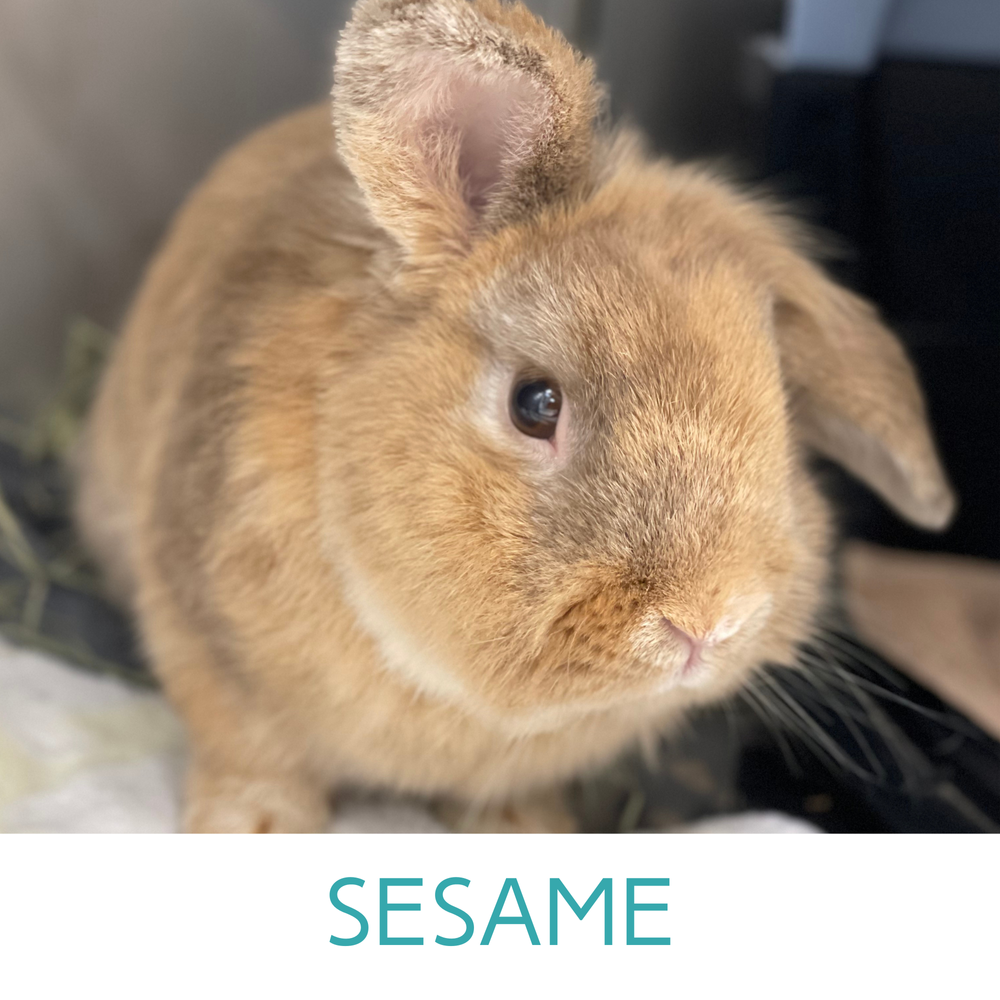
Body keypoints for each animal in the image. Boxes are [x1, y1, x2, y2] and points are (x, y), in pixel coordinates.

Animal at [75, 0, 955, 833]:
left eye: (784, 412)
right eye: (535, 404)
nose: (710, 621)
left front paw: (525, 830)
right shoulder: (207, 650)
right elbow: (254, 758)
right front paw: (251, 827)